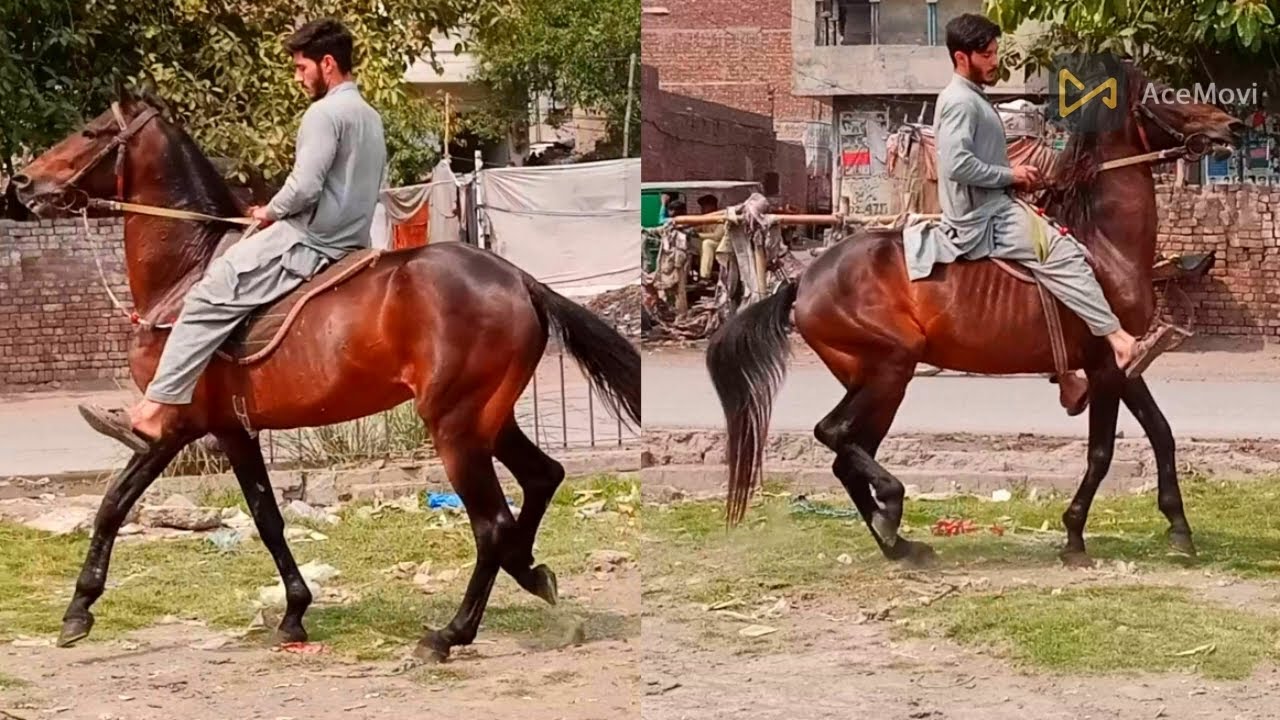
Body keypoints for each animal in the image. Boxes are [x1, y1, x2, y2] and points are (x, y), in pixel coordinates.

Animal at [11, 91, 641, 662]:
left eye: (91, 132)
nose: (20, 182)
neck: (186, 272)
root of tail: (517, 279)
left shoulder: (176, 427)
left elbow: (113, 503)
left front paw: (78, 610)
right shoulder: (234, 430)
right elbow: (267, 518)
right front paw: (294, 612)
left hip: (454, 429)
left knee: (491, 524)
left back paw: (450, 634)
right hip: (489, 419)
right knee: (540, 480)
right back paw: (529, 573)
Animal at [706, 61, 1242, 567]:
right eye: (1166, 95)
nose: (1232, 126)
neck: (1105, 246)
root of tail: (804, 281)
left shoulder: (1125, 365)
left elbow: (1162, 434)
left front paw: (1179, 528)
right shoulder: (1104, 366)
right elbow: (1102, 453)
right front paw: (1073, 534)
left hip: (875, 382)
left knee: (845, 454)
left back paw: (898, 543)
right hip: (891, 368)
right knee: (833, 434)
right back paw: (893, 509)